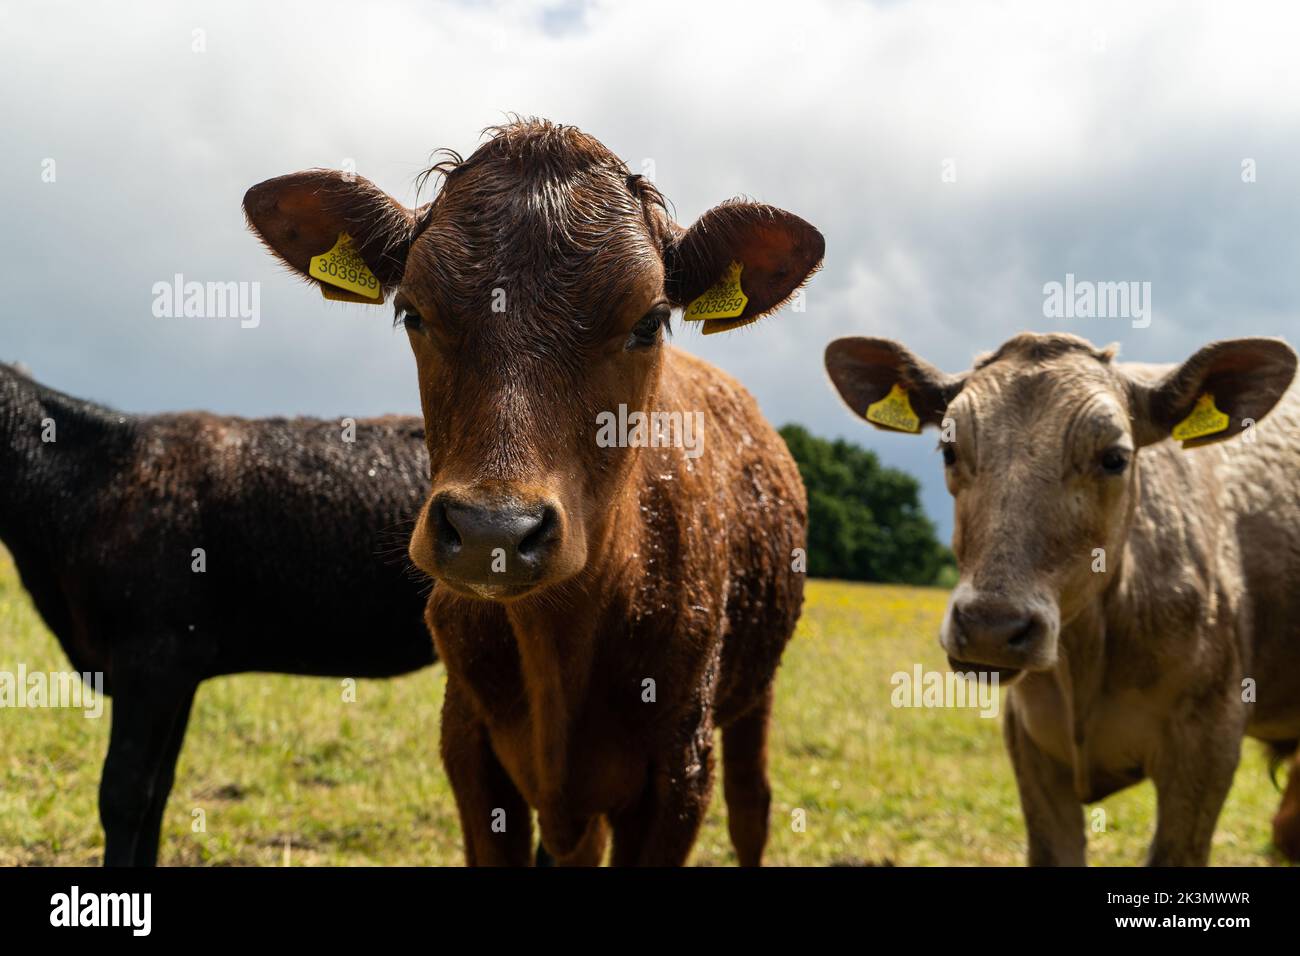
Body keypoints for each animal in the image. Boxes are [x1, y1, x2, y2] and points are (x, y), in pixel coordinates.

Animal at [243, 119, 822, 866]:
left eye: (650, 321)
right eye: (412, 312)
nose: (492, 532)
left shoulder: (680, 770)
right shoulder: (467, 743)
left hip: (756, 693)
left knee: (753, 807)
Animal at [825, 331, 1299, 865]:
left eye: (1114, 457)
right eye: (948, 449)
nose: (990, 627)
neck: (1087, 662)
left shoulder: (1209, 740)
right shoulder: (1029, 743)